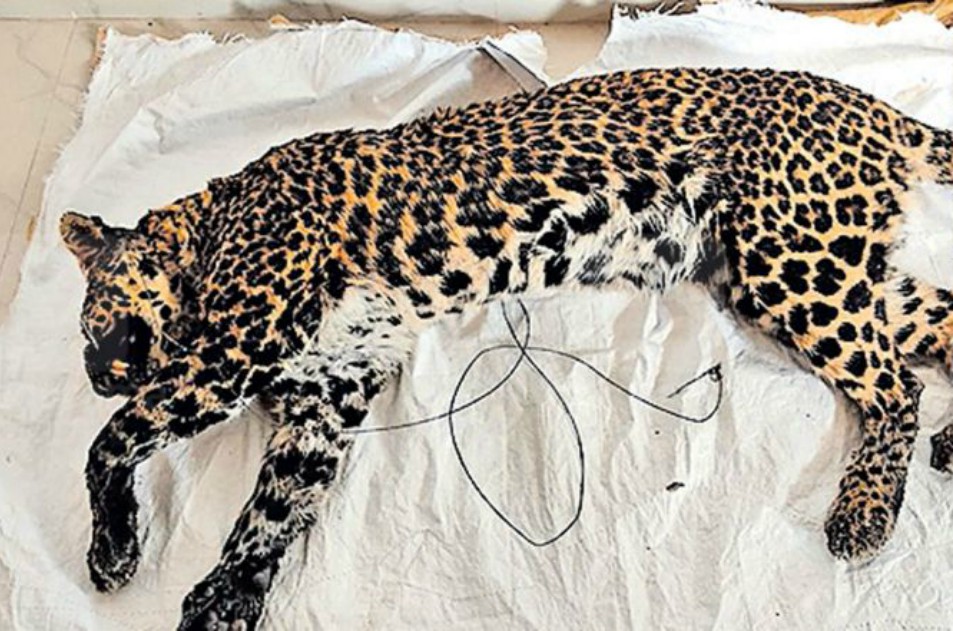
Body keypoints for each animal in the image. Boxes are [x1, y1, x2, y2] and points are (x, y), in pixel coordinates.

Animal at [60, 67, 953, 630]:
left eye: (90, 324)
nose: (94, 377)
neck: (209, 224)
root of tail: (867, 106)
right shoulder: (327, 394)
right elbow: (272, 508)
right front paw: (228, 596)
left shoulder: (238, 344)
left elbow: (112, 443)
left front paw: (113, 550)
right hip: (823, 270)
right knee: (935, 328)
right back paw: (947, 445)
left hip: (793, 262)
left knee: (895, 386)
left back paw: (863, 512)